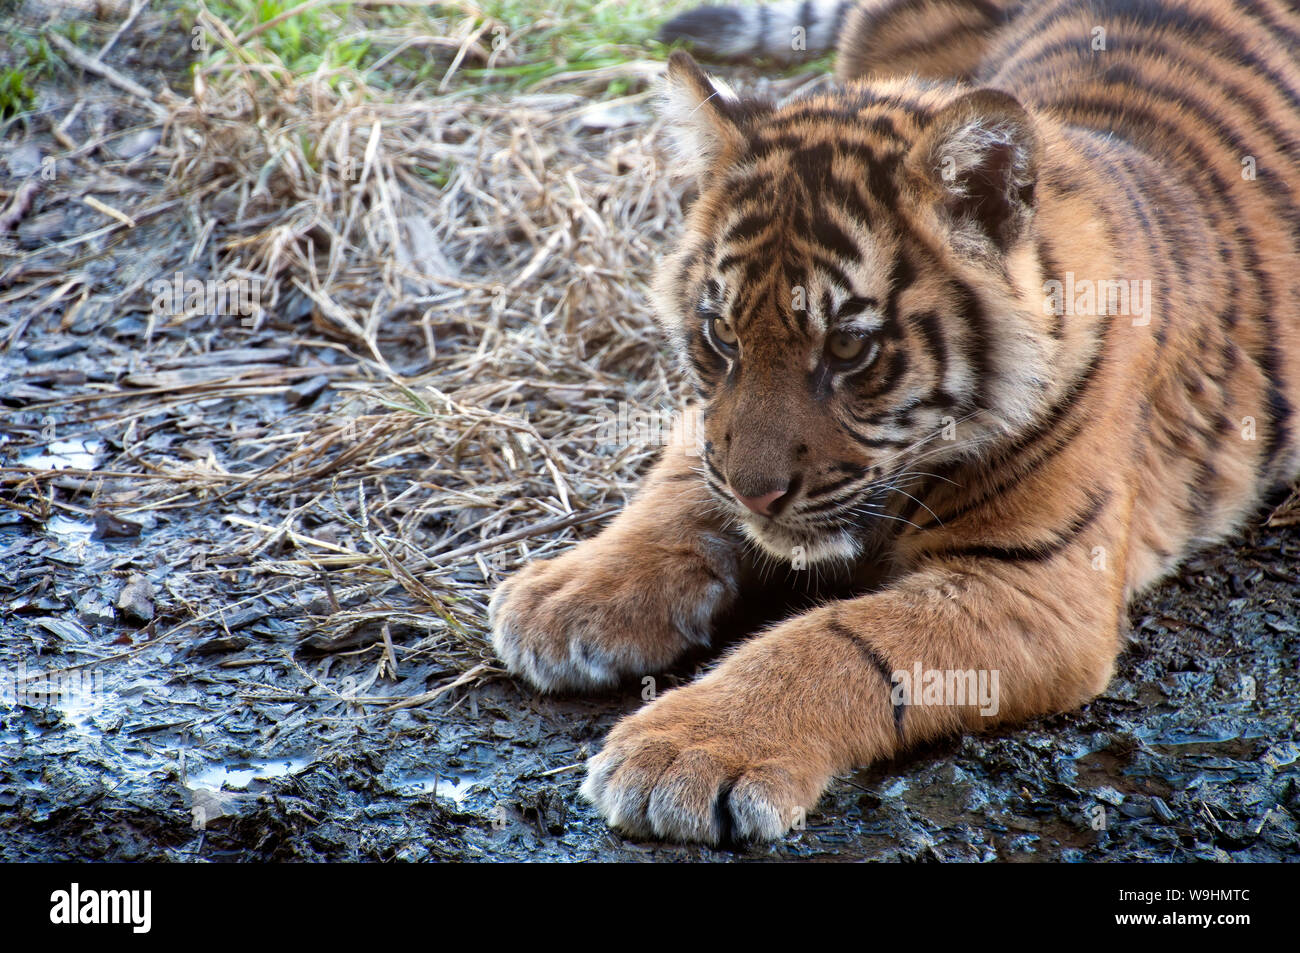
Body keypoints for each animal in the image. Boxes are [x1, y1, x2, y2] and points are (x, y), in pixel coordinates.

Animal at [488, 0, 1300, 846]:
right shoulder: (714, 436)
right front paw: (567, 595)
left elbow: (837, 645)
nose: (756, 495)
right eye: (722, 335)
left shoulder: (1038, 582)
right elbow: (681, 480)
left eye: (849, 346)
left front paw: (687, 748)